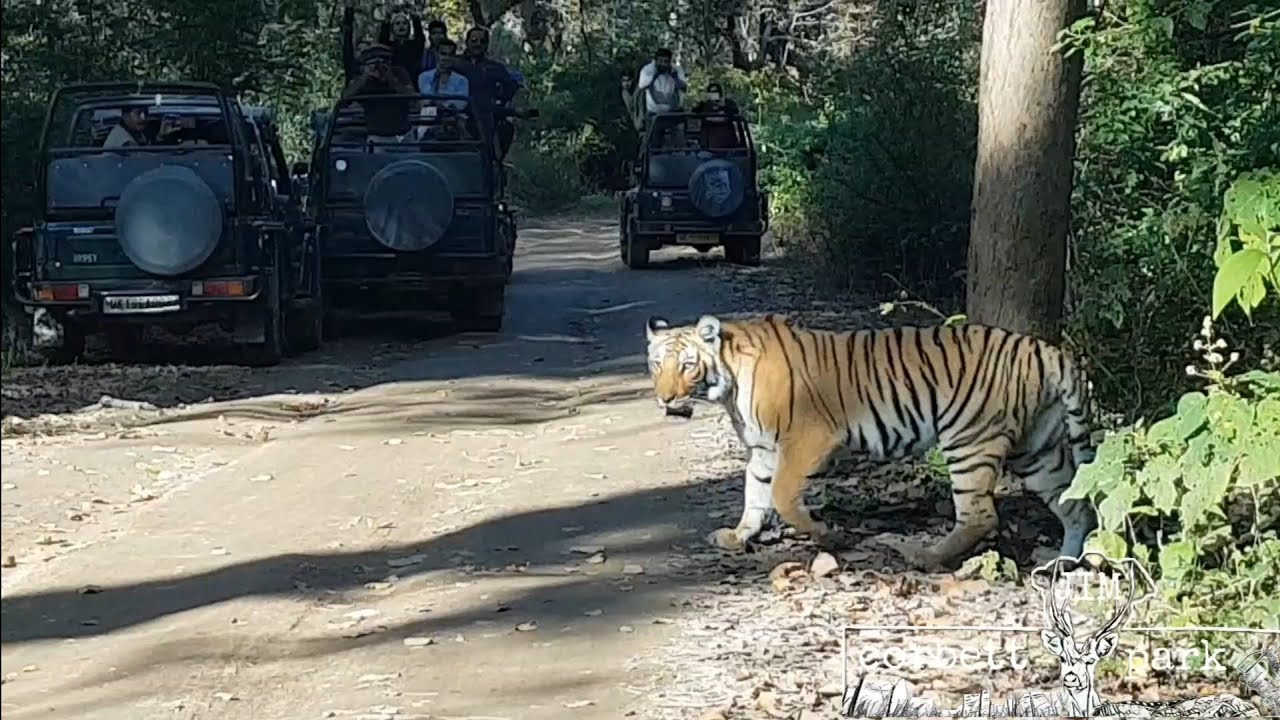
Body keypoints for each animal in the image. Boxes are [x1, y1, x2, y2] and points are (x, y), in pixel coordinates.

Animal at [644, 313, 1097, 571]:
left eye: (686, 365)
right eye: (655, 364)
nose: (664, 398)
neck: (729, 383)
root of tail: (1047, 349)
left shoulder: (807, 439)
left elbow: (782, 495)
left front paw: (828, 535)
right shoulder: (763, 450)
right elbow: (754, 495)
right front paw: (739, 536)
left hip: (969, 439)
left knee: (980, 515)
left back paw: (926, 558)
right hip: (1036, 449)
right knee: (1075, 505)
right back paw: (1063, 563)